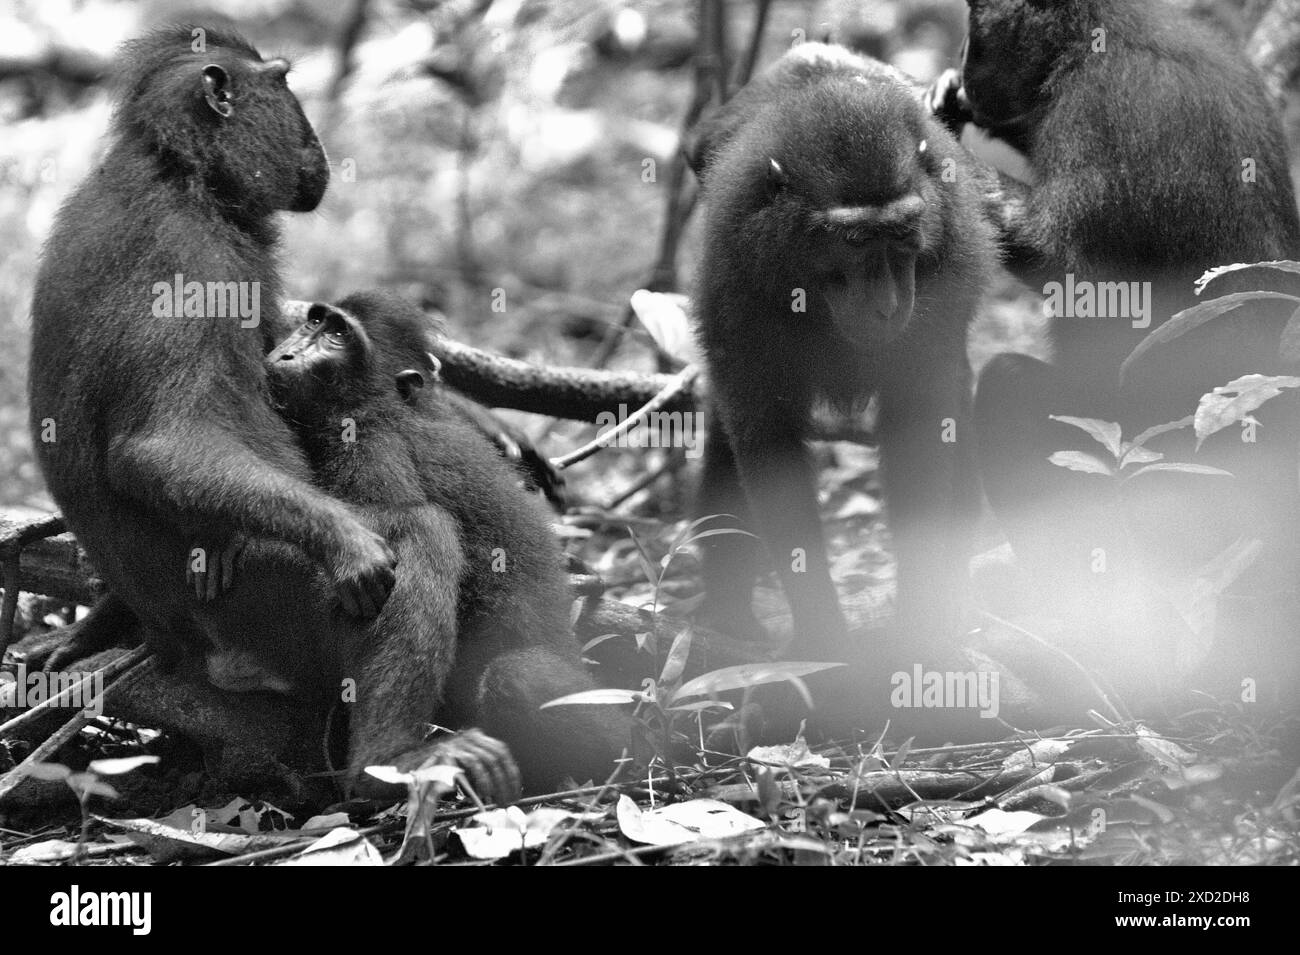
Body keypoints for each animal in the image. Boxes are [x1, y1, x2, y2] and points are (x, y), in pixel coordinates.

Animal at [28, 25, 401, 693]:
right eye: (283, 82)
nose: (316, 139)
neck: (183, 175)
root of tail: (172, 645)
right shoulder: (193, 265)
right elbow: (166, 442)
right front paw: (345, 540)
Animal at [208, 290, 627, 797]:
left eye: (338, 334)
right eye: (314, 321)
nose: (287, 352)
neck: (380, 405)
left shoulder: (371, 447)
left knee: (515, 673)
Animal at [685, 44, 998, 666]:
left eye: (903, 232)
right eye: (854, 241)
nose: (888, 303)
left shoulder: (946, 269)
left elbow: (922, 431)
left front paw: (921, 628)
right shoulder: (736, 285)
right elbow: (767, 444)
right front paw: (821, 634)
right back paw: (732, 618)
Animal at [927, 0, 1300, 595]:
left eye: (973, 19)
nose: (961, 59)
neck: (1090, 39)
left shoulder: (1098, 108)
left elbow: (1071, 262)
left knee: (1009, 384)